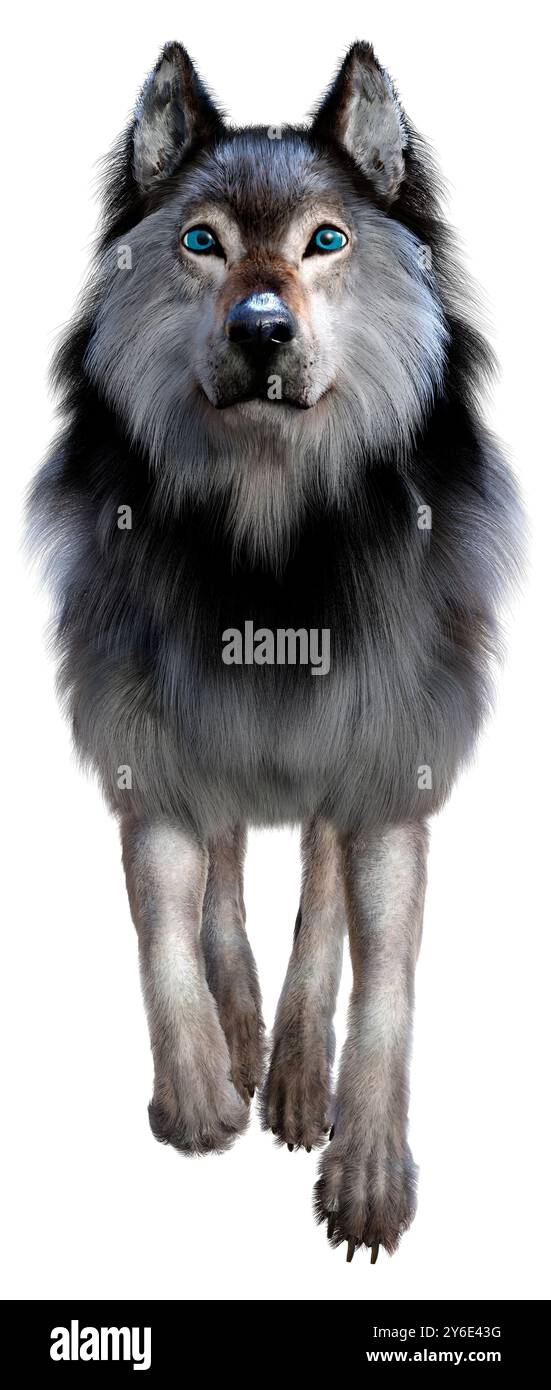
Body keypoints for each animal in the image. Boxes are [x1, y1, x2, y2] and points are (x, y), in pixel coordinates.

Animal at [28, 40, 522, 1261]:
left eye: (324, 242)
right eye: (201, 241)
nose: (261, 328)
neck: (266, 543)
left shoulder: (388, 772)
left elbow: (376, 977)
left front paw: (366, 1169)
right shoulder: (149, 752)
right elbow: (167, 930)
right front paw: (200, 1086)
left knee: (312, 879)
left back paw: (294, 1066)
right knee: (229, 865)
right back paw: (248, 1033)